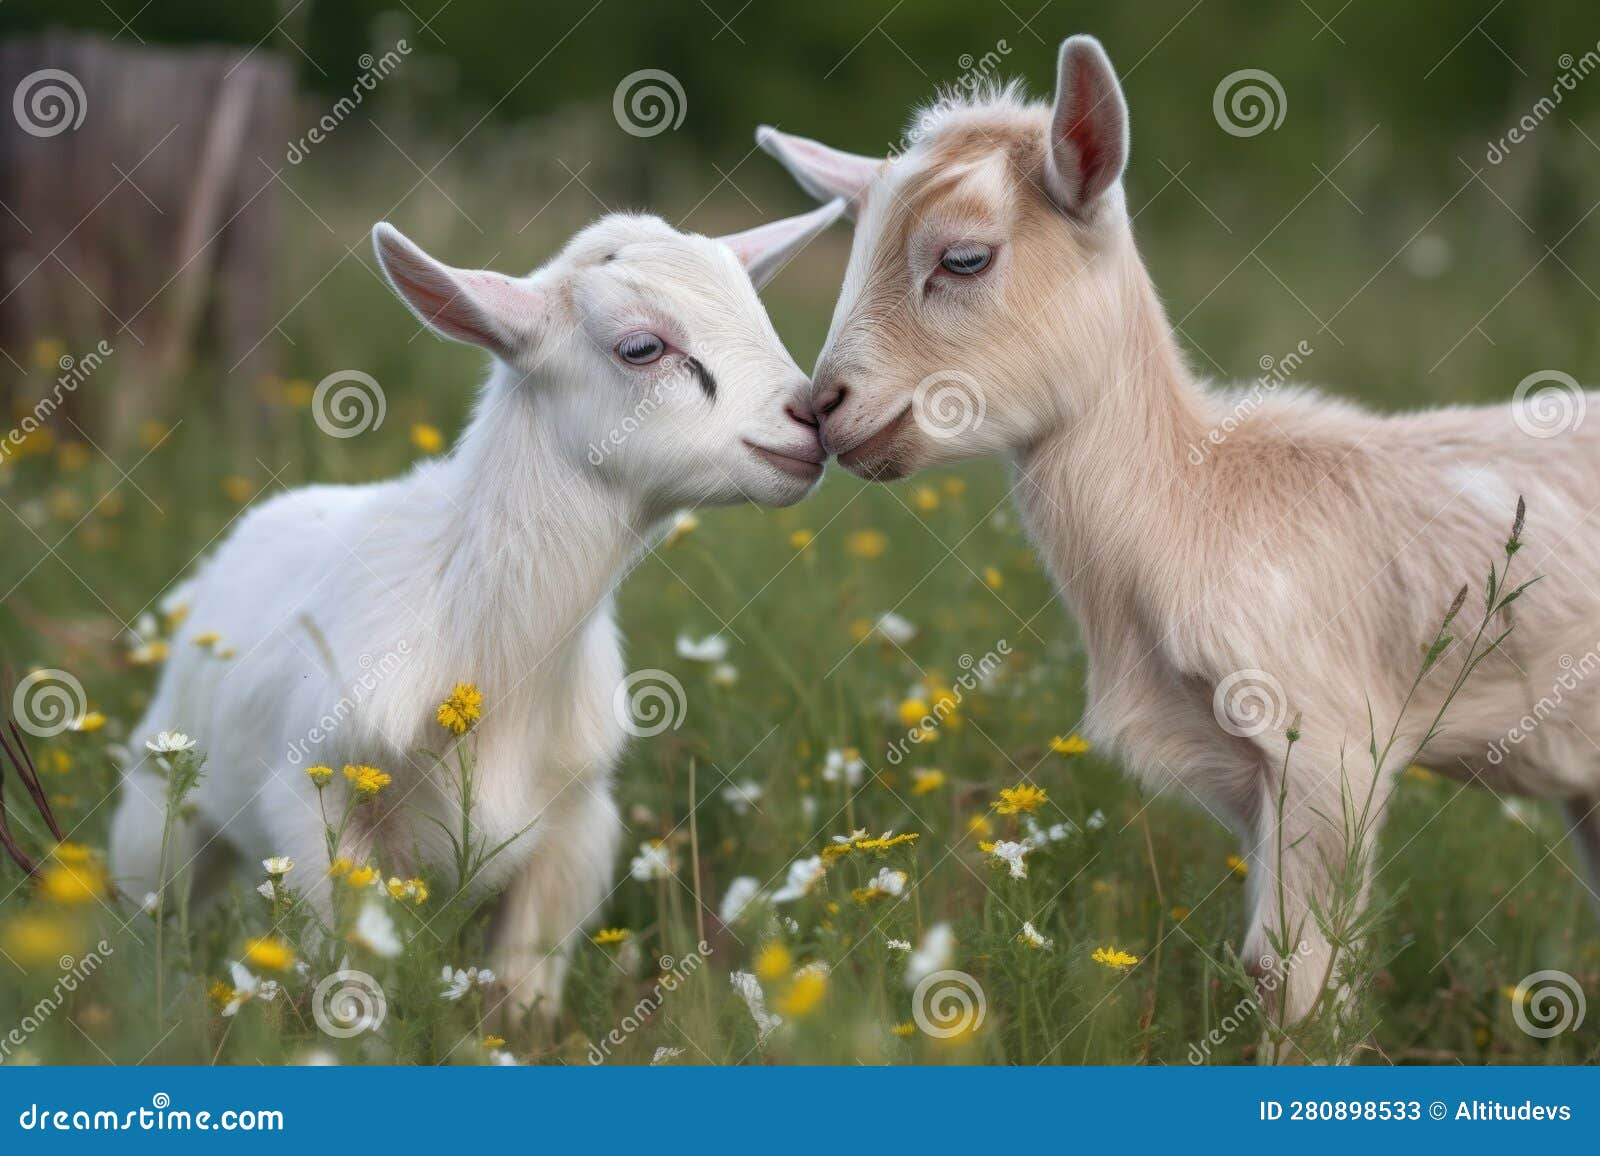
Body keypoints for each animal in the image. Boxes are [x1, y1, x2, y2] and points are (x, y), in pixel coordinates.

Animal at [108, 201, 844, 1021]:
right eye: (641, 347)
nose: (811, 421)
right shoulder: (311, 810)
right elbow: (350, 976)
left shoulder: (574, 830)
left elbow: (523, 999)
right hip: (156, 809)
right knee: (153, 925)